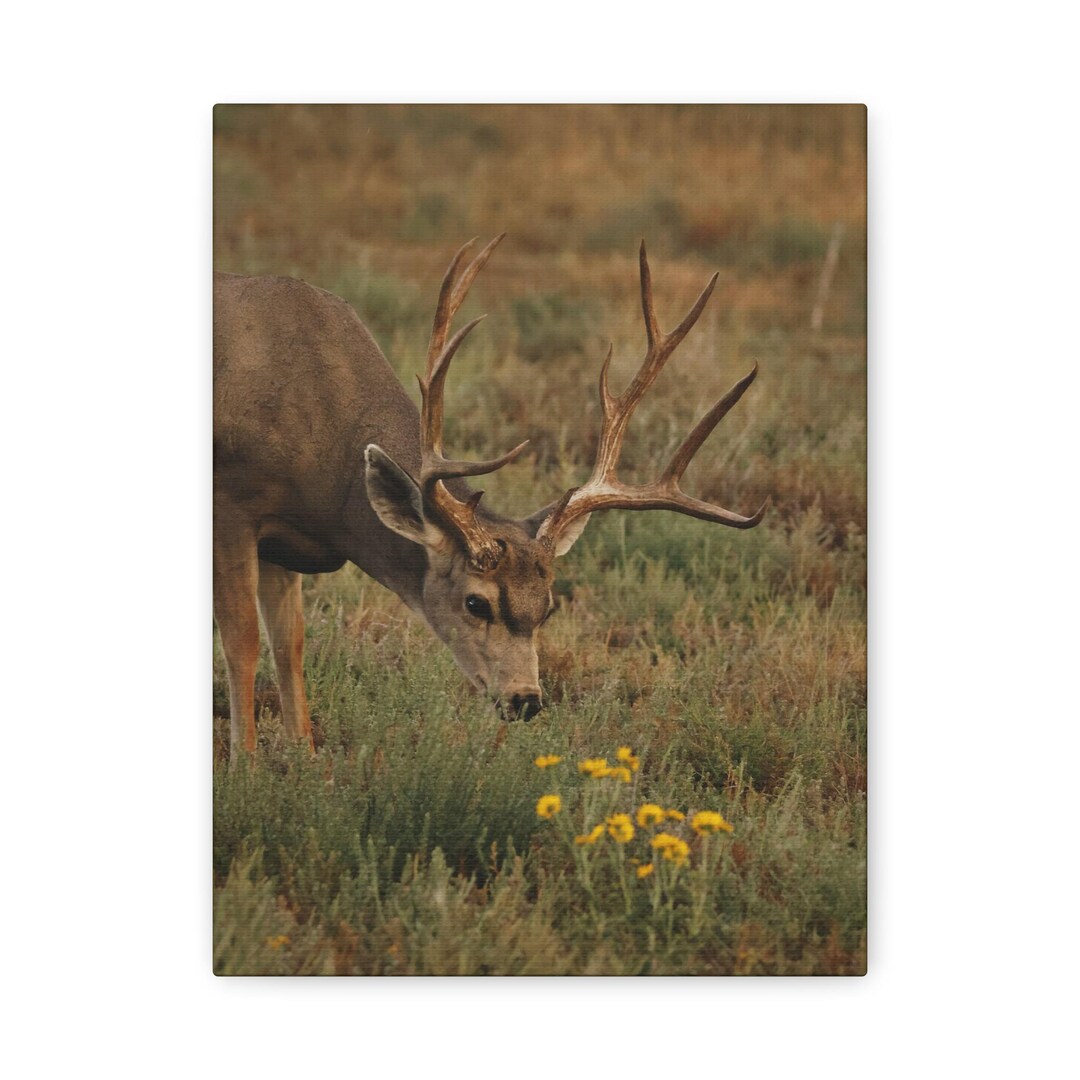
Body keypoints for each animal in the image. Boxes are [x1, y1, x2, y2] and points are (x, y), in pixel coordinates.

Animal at [213, 236, 767, 761]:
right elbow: (242, 642)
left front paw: (305, 762)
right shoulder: (232, 507)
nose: (525, 700)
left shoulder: (285, 544)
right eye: (476, 602)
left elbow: (290, 645)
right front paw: (247, 768)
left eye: (548, 608)